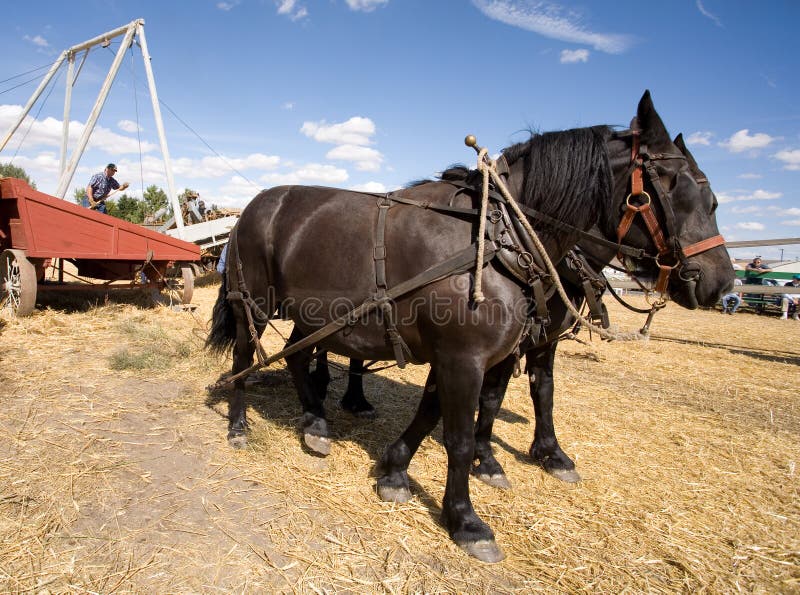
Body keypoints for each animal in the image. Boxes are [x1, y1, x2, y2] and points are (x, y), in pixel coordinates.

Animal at [206, 91, 733, 562]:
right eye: (683, 188)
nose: (721, 284)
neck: (500, 238)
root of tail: (250, 207)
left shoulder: (469, 355)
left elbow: (442, 411)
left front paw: (394, 471)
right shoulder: (464, 358)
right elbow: (459, 437)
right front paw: (466, 519)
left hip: (313, 313)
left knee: (297, 354)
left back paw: (316, 423)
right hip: (254, 304)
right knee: (243, 359)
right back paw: (238, 425)